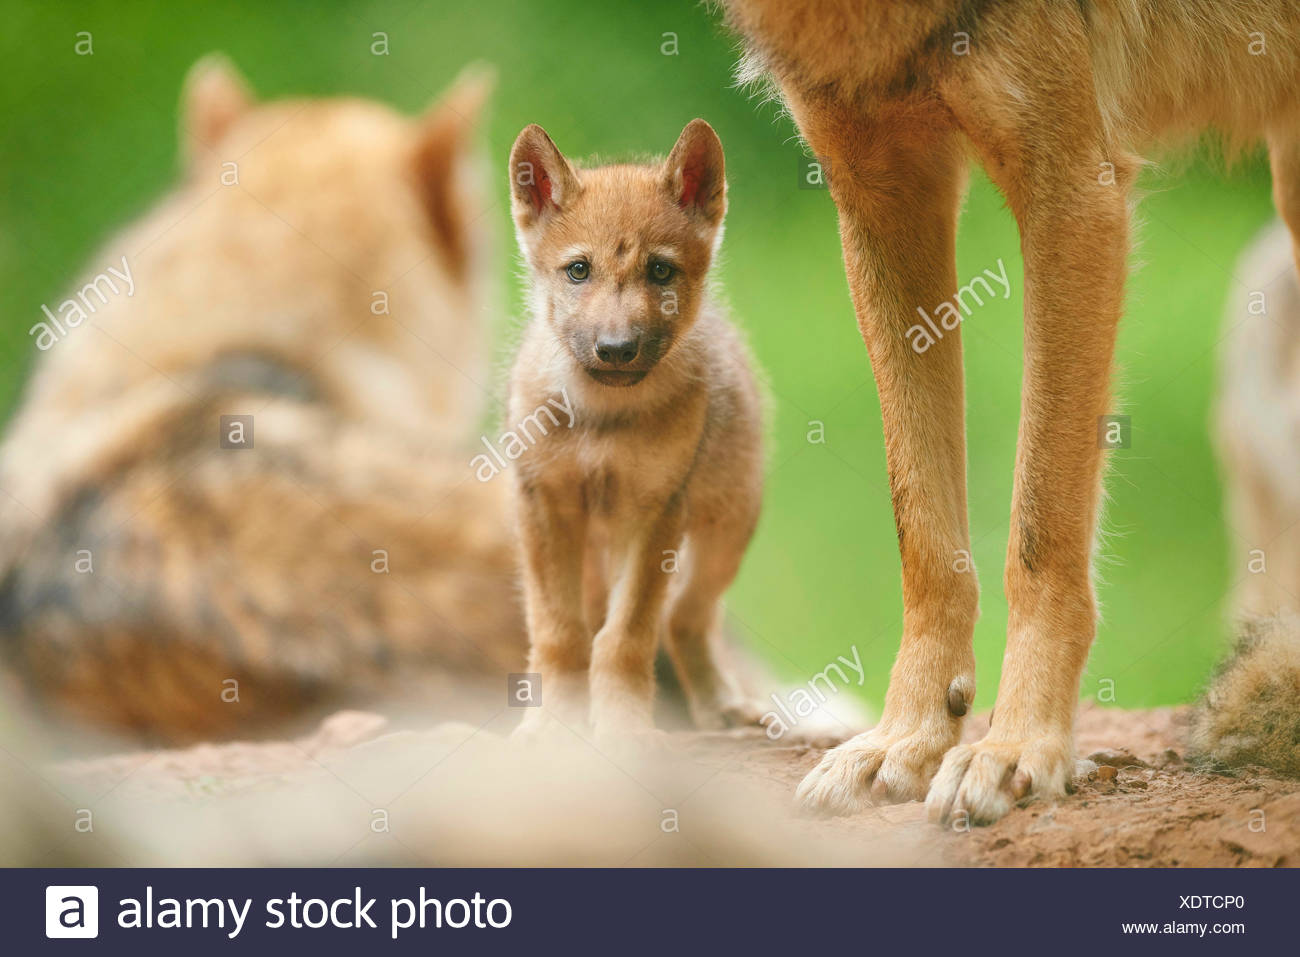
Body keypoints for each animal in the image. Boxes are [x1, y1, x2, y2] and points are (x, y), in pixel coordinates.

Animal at [505, 119, 766, 740]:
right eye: (579, 270)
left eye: (660, 271)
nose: (617, 349)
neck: (601, 420)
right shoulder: (541, 502)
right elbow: (560, 634)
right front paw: (551, 729)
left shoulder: (653, 512)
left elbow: (625, 637)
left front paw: (624, 729)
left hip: (724, 538)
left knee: (685, 619)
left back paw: (720, 704)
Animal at [718, 0, 1300, 823]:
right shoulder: (878, 187)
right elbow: (923, 534)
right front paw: (908, 738)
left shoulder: (1074, 189)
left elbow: (1040, 532)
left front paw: (1021, 744)